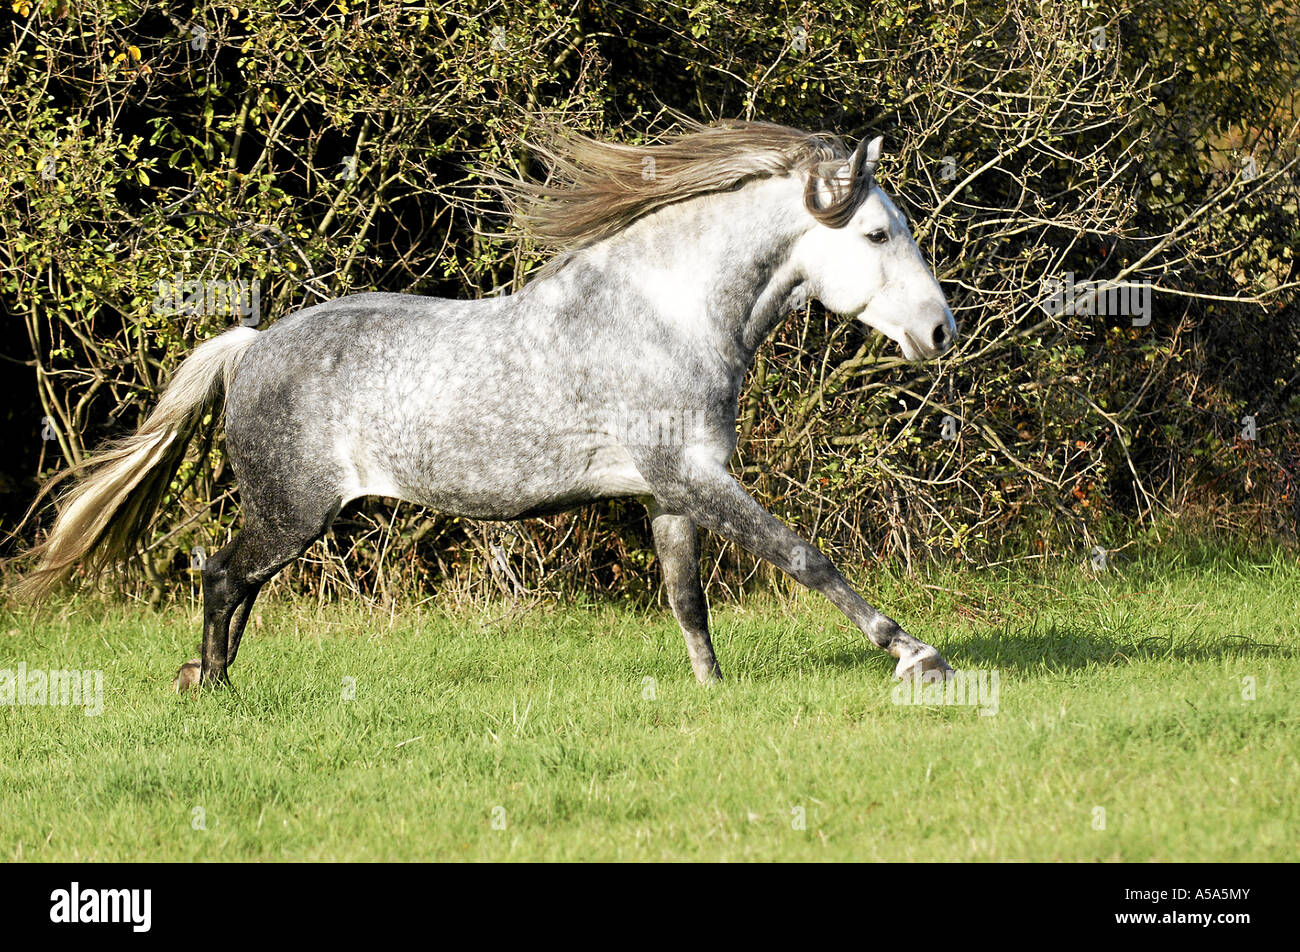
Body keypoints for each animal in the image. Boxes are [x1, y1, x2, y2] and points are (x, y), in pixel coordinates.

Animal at [12, 118, 959, 690]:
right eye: (877, 232)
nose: (940, 330)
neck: (665, 316)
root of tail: (253, 345)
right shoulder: (692, 477)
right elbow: (807, 558)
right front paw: (919, 656)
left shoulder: (670, 491)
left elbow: (688, 600)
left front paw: (713, 693)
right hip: (293, 509)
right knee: (220, 575)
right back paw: (213, 687)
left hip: (291, 514)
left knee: (235, 584)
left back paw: (203, 679)